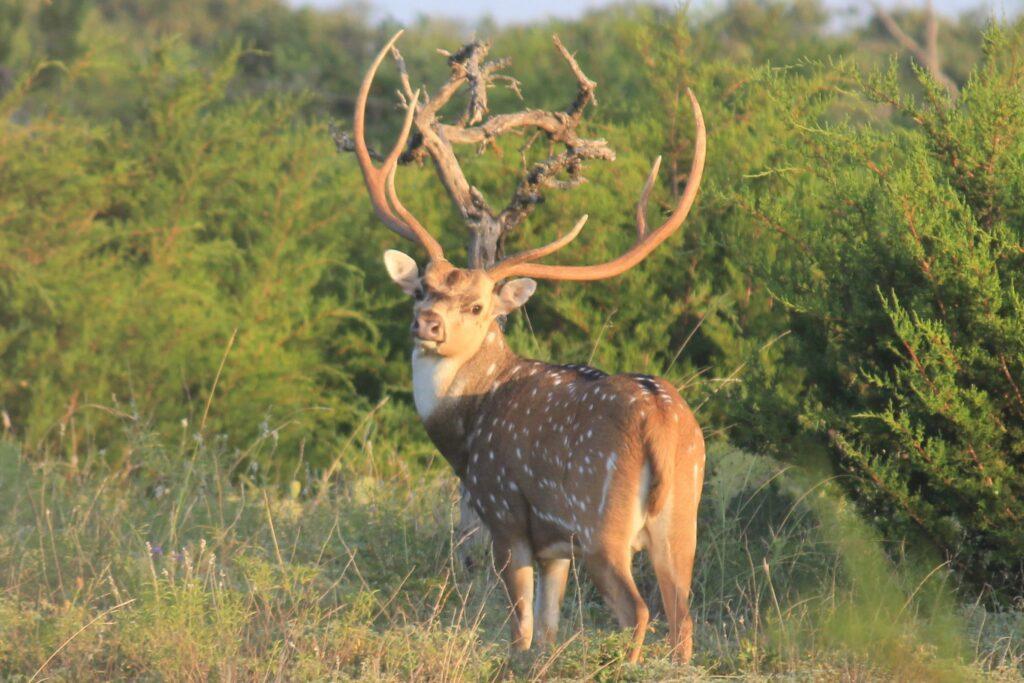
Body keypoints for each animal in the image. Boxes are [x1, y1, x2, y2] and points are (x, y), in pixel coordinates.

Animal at [349, 31, 707, 665]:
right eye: (420, 288)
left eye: (477, 306)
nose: (427, 323)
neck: (466, 431)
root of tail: (662, 425)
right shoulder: (554, 544)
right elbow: (548, 626)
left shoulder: (505, 511)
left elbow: (518, 626)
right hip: (681, 514)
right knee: (683, 616)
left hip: (601, 522)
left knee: (640, 610)